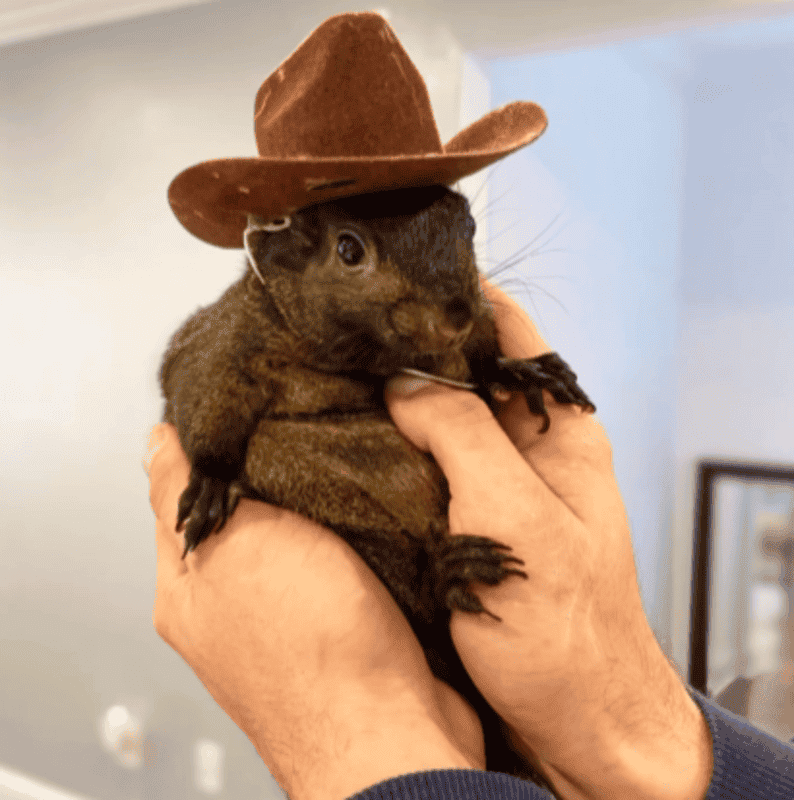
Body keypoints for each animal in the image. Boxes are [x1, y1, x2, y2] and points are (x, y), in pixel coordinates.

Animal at [159, 183, 595, 792]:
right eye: (349, 250)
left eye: (468, 226)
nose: (456, 314)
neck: (367, 359)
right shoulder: (219, 346)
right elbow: (201, 400)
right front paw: (211, 482)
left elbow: (484, 360)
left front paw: (522, 371)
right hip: (367, 543)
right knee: (421, 596)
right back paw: (447, 572)